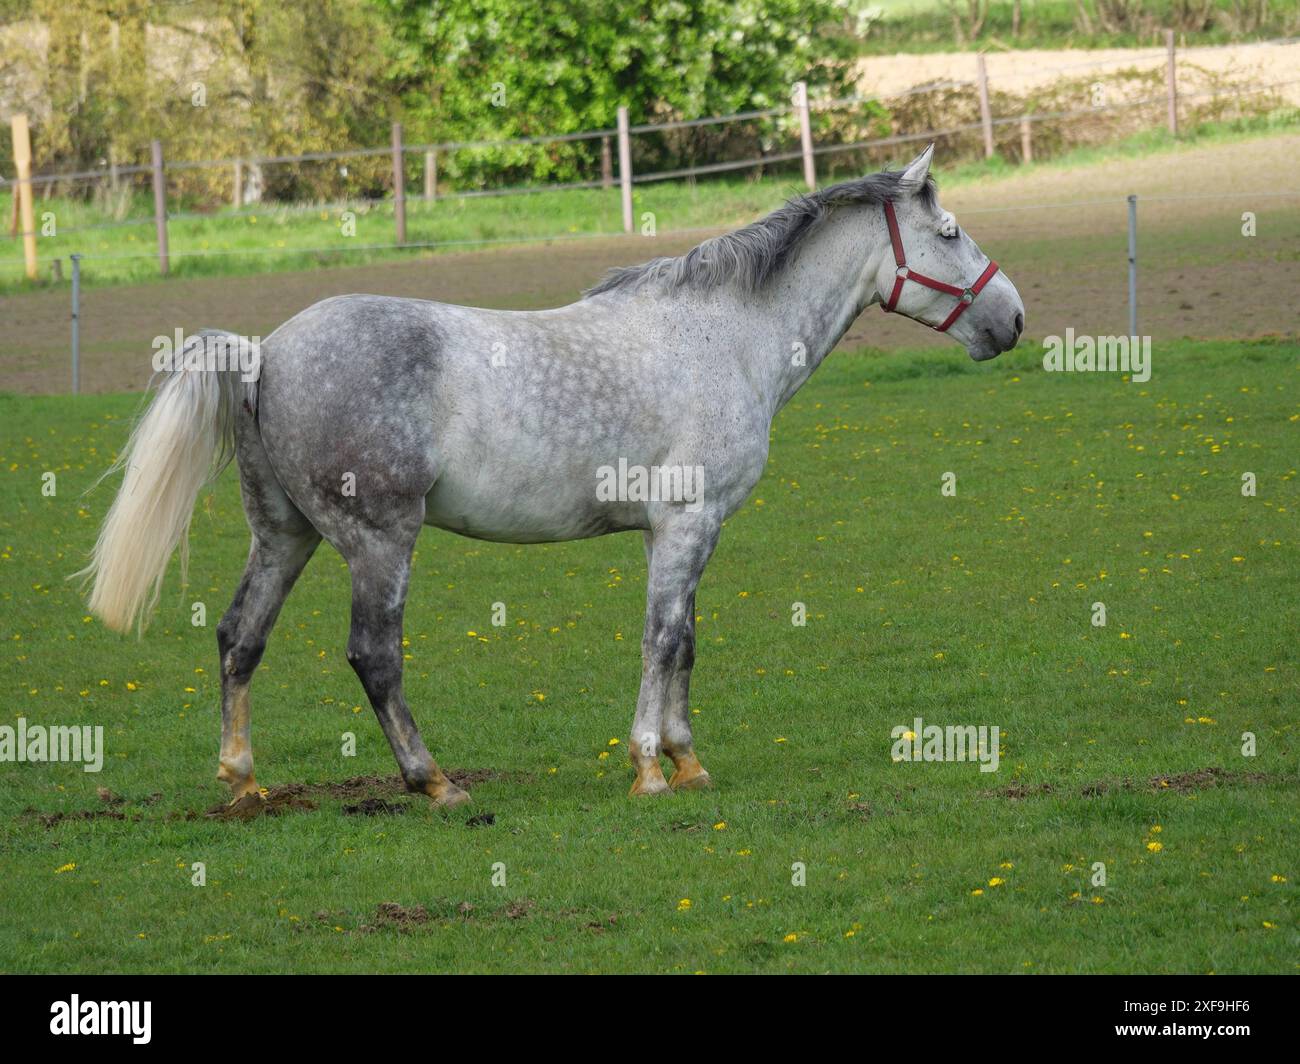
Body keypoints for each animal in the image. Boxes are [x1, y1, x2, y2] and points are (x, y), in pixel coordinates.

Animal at [78, 145, 1024, 807]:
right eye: (948, 233)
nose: (1011, 318)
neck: (724, 334)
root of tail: (264, 349)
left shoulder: (684, 532)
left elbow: (686, 640)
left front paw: (687, 760)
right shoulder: (687, 524)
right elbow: (661, 641)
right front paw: (650, 769)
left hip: (285, 535)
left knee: (240, 638)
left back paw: (243, 779)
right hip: (378, 542)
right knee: (373, 656)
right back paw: (433, 782)